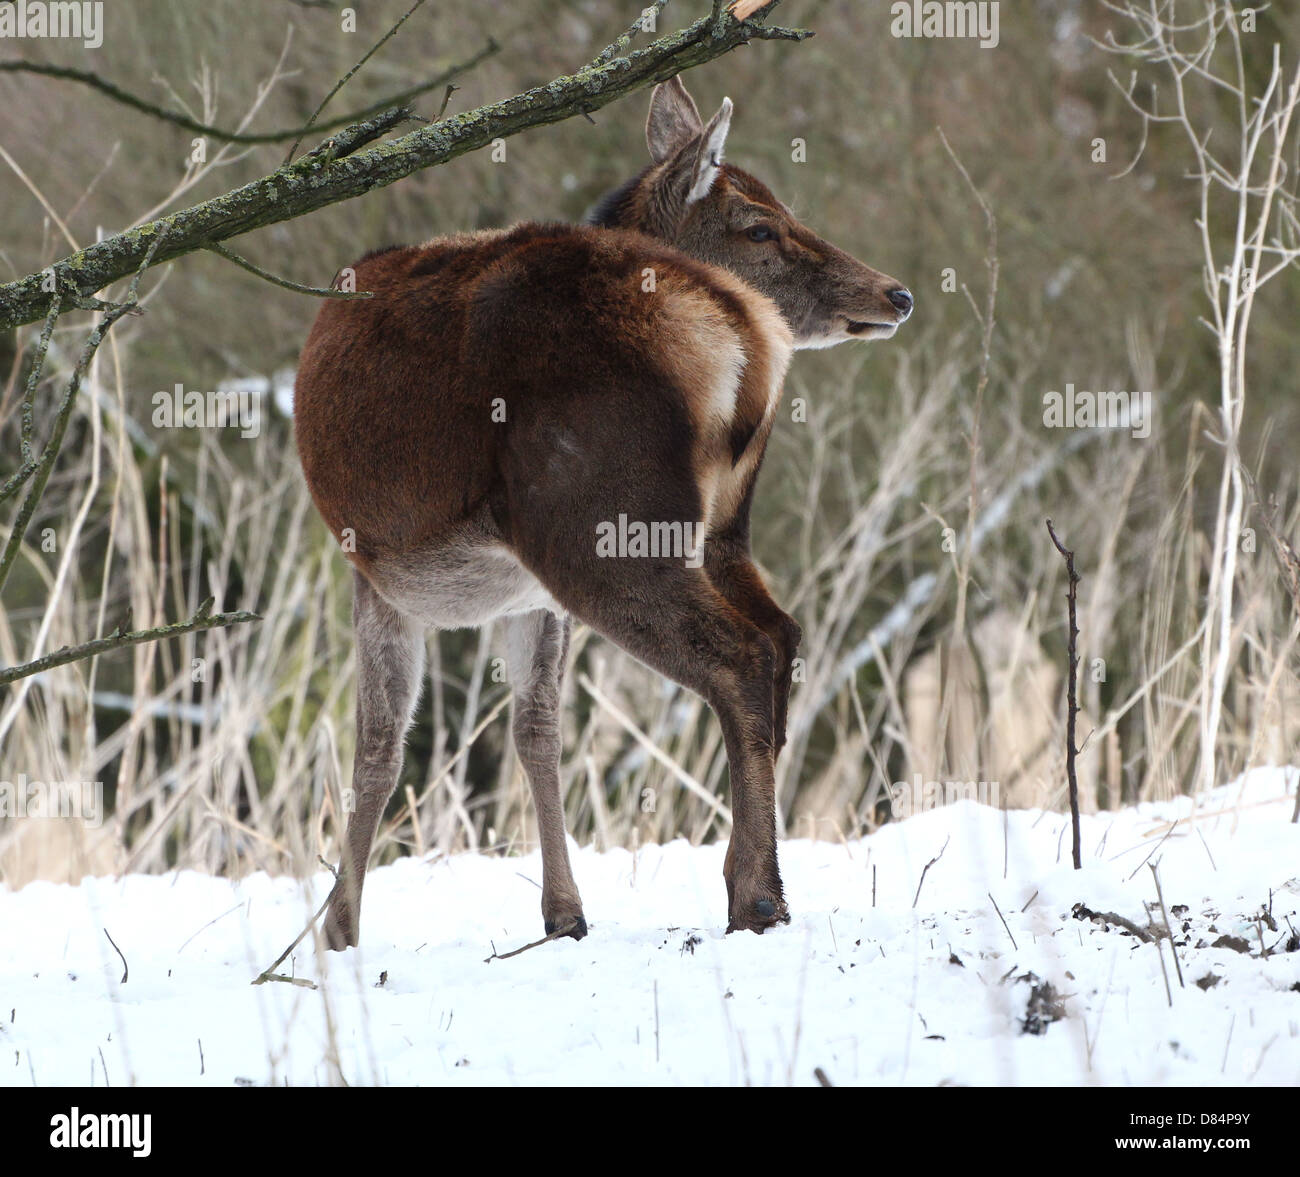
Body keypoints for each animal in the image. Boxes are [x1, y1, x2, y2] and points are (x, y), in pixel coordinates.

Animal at [293, 75, 912, 949]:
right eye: (760, 223)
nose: (897, 293)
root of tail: (741, 324)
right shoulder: (523, 589)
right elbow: (536, 729)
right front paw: (563, 914)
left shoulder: (374, 564)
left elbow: (379, 748)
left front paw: (336, 930)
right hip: (713, 527)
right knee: (783, 632)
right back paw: (766, 880)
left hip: (594, 518)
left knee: (742, 651)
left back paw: (754, 894)